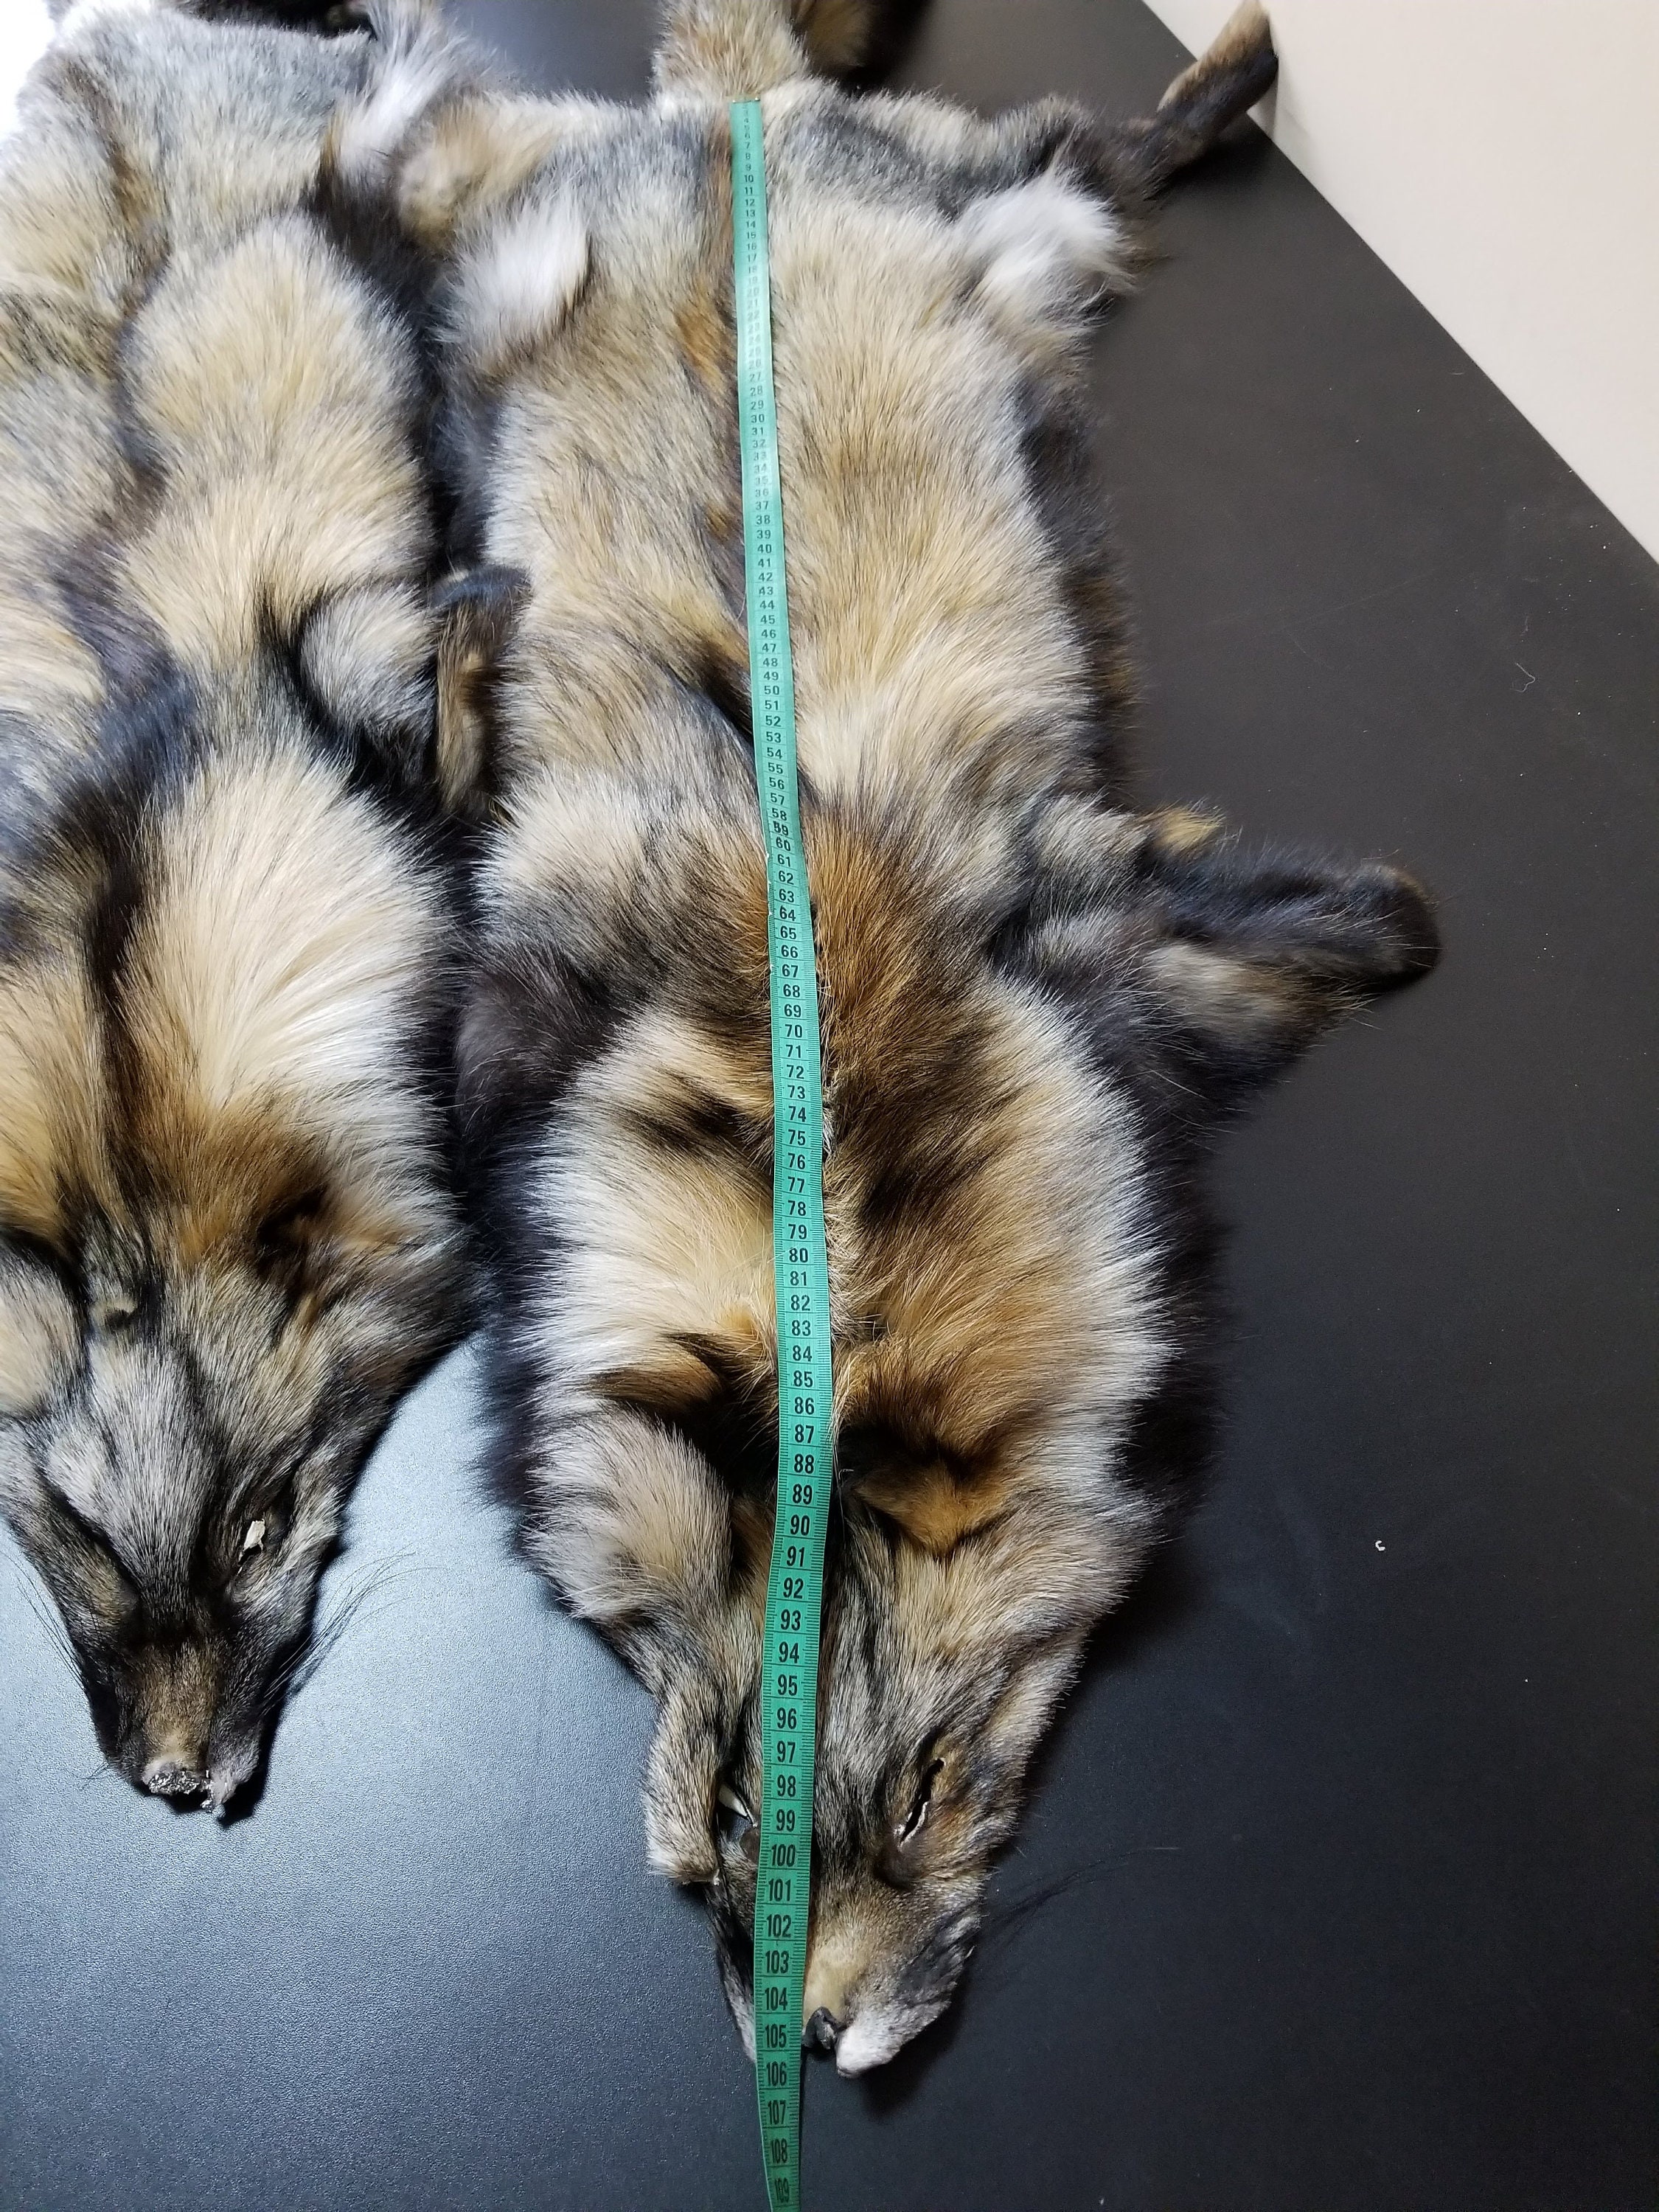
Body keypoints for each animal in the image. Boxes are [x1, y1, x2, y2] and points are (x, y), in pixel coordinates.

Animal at [348, 0, 1438, 2068]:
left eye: (939, 1788)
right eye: (743, 1811)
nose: (822, 2042)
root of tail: (737, 119)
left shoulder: (1097, 937)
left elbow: (1312, 927)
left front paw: (1384, 930)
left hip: (1008, 210)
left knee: (1104, 141)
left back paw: (1240, 77)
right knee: (403, 141)